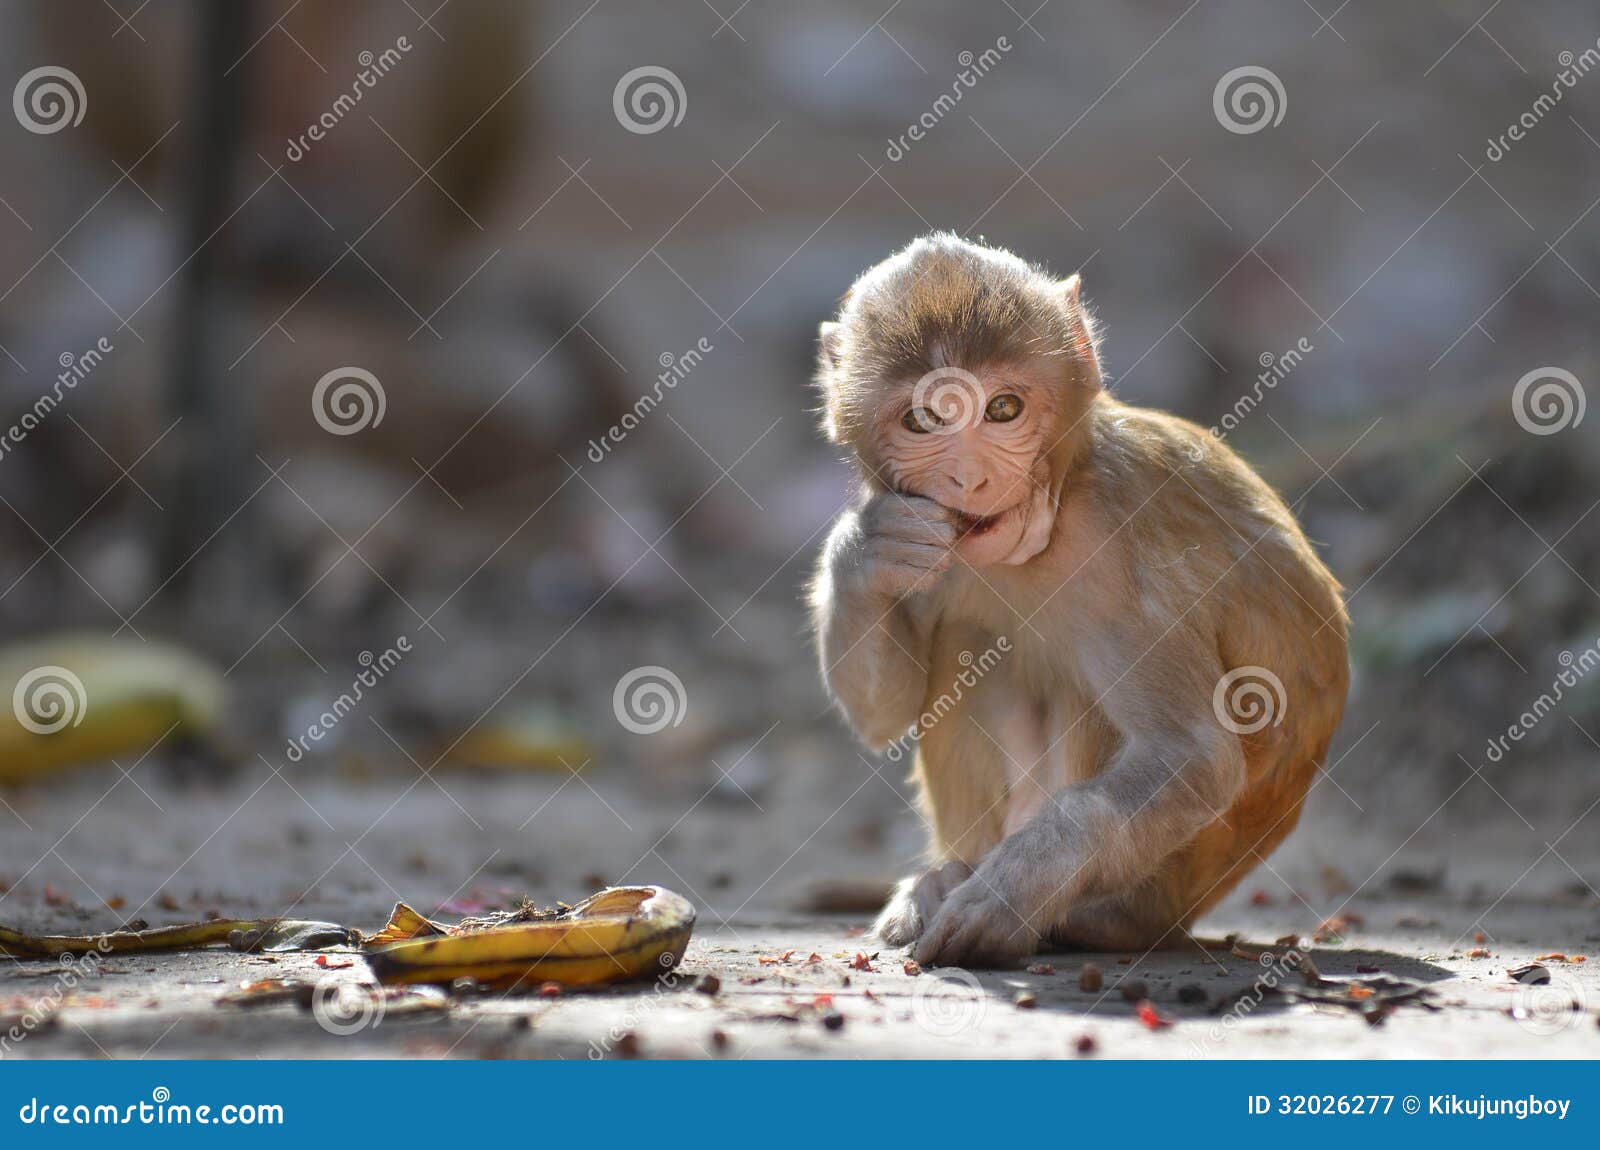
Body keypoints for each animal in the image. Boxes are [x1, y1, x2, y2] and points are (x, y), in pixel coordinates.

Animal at [809, 234, 1349, 967]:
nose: (969, 478)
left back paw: (1076, 916)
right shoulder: (932, 544)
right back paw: (951, 874)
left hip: (1159, 891)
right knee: (969, 637)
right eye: (924, 419)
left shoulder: (1119, 546)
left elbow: (1194, 756)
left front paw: (1013, 889)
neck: (1058, 500)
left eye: (1003, 409)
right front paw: (865, 550)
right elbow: (883, 716)